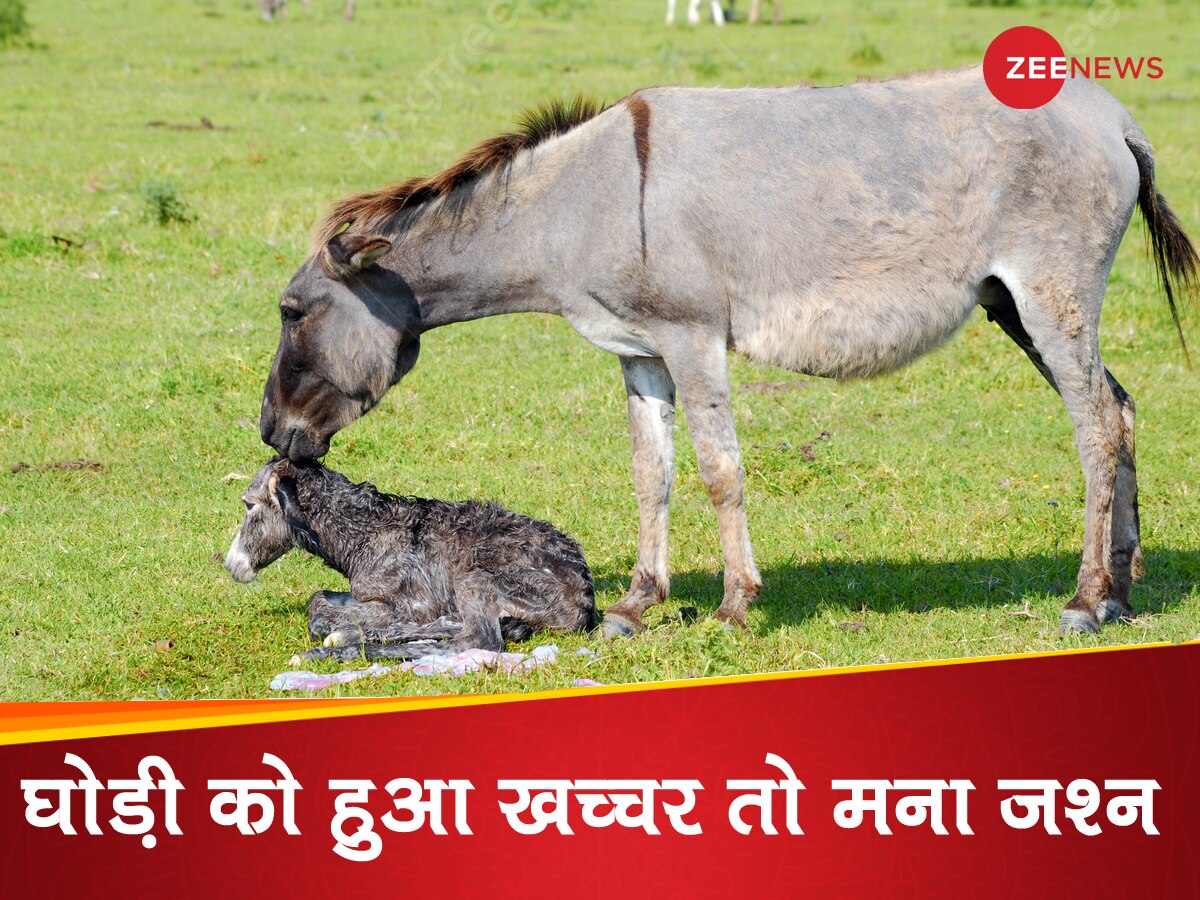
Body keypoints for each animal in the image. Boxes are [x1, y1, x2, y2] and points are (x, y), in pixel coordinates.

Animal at [257, 69, 1198, 639]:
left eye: (291, 311)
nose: (269, 434)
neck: (579, 204)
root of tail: (1110, 113)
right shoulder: (637, 349)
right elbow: (652, 471)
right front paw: (636, 603)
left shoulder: (691, 336)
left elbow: (719, 469)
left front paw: (737, 605)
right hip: (1014, 307)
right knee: (1120, 410)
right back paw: (1122, 591)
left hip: (1050, 297)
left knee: (1093, 428)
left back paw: (1083, 598)